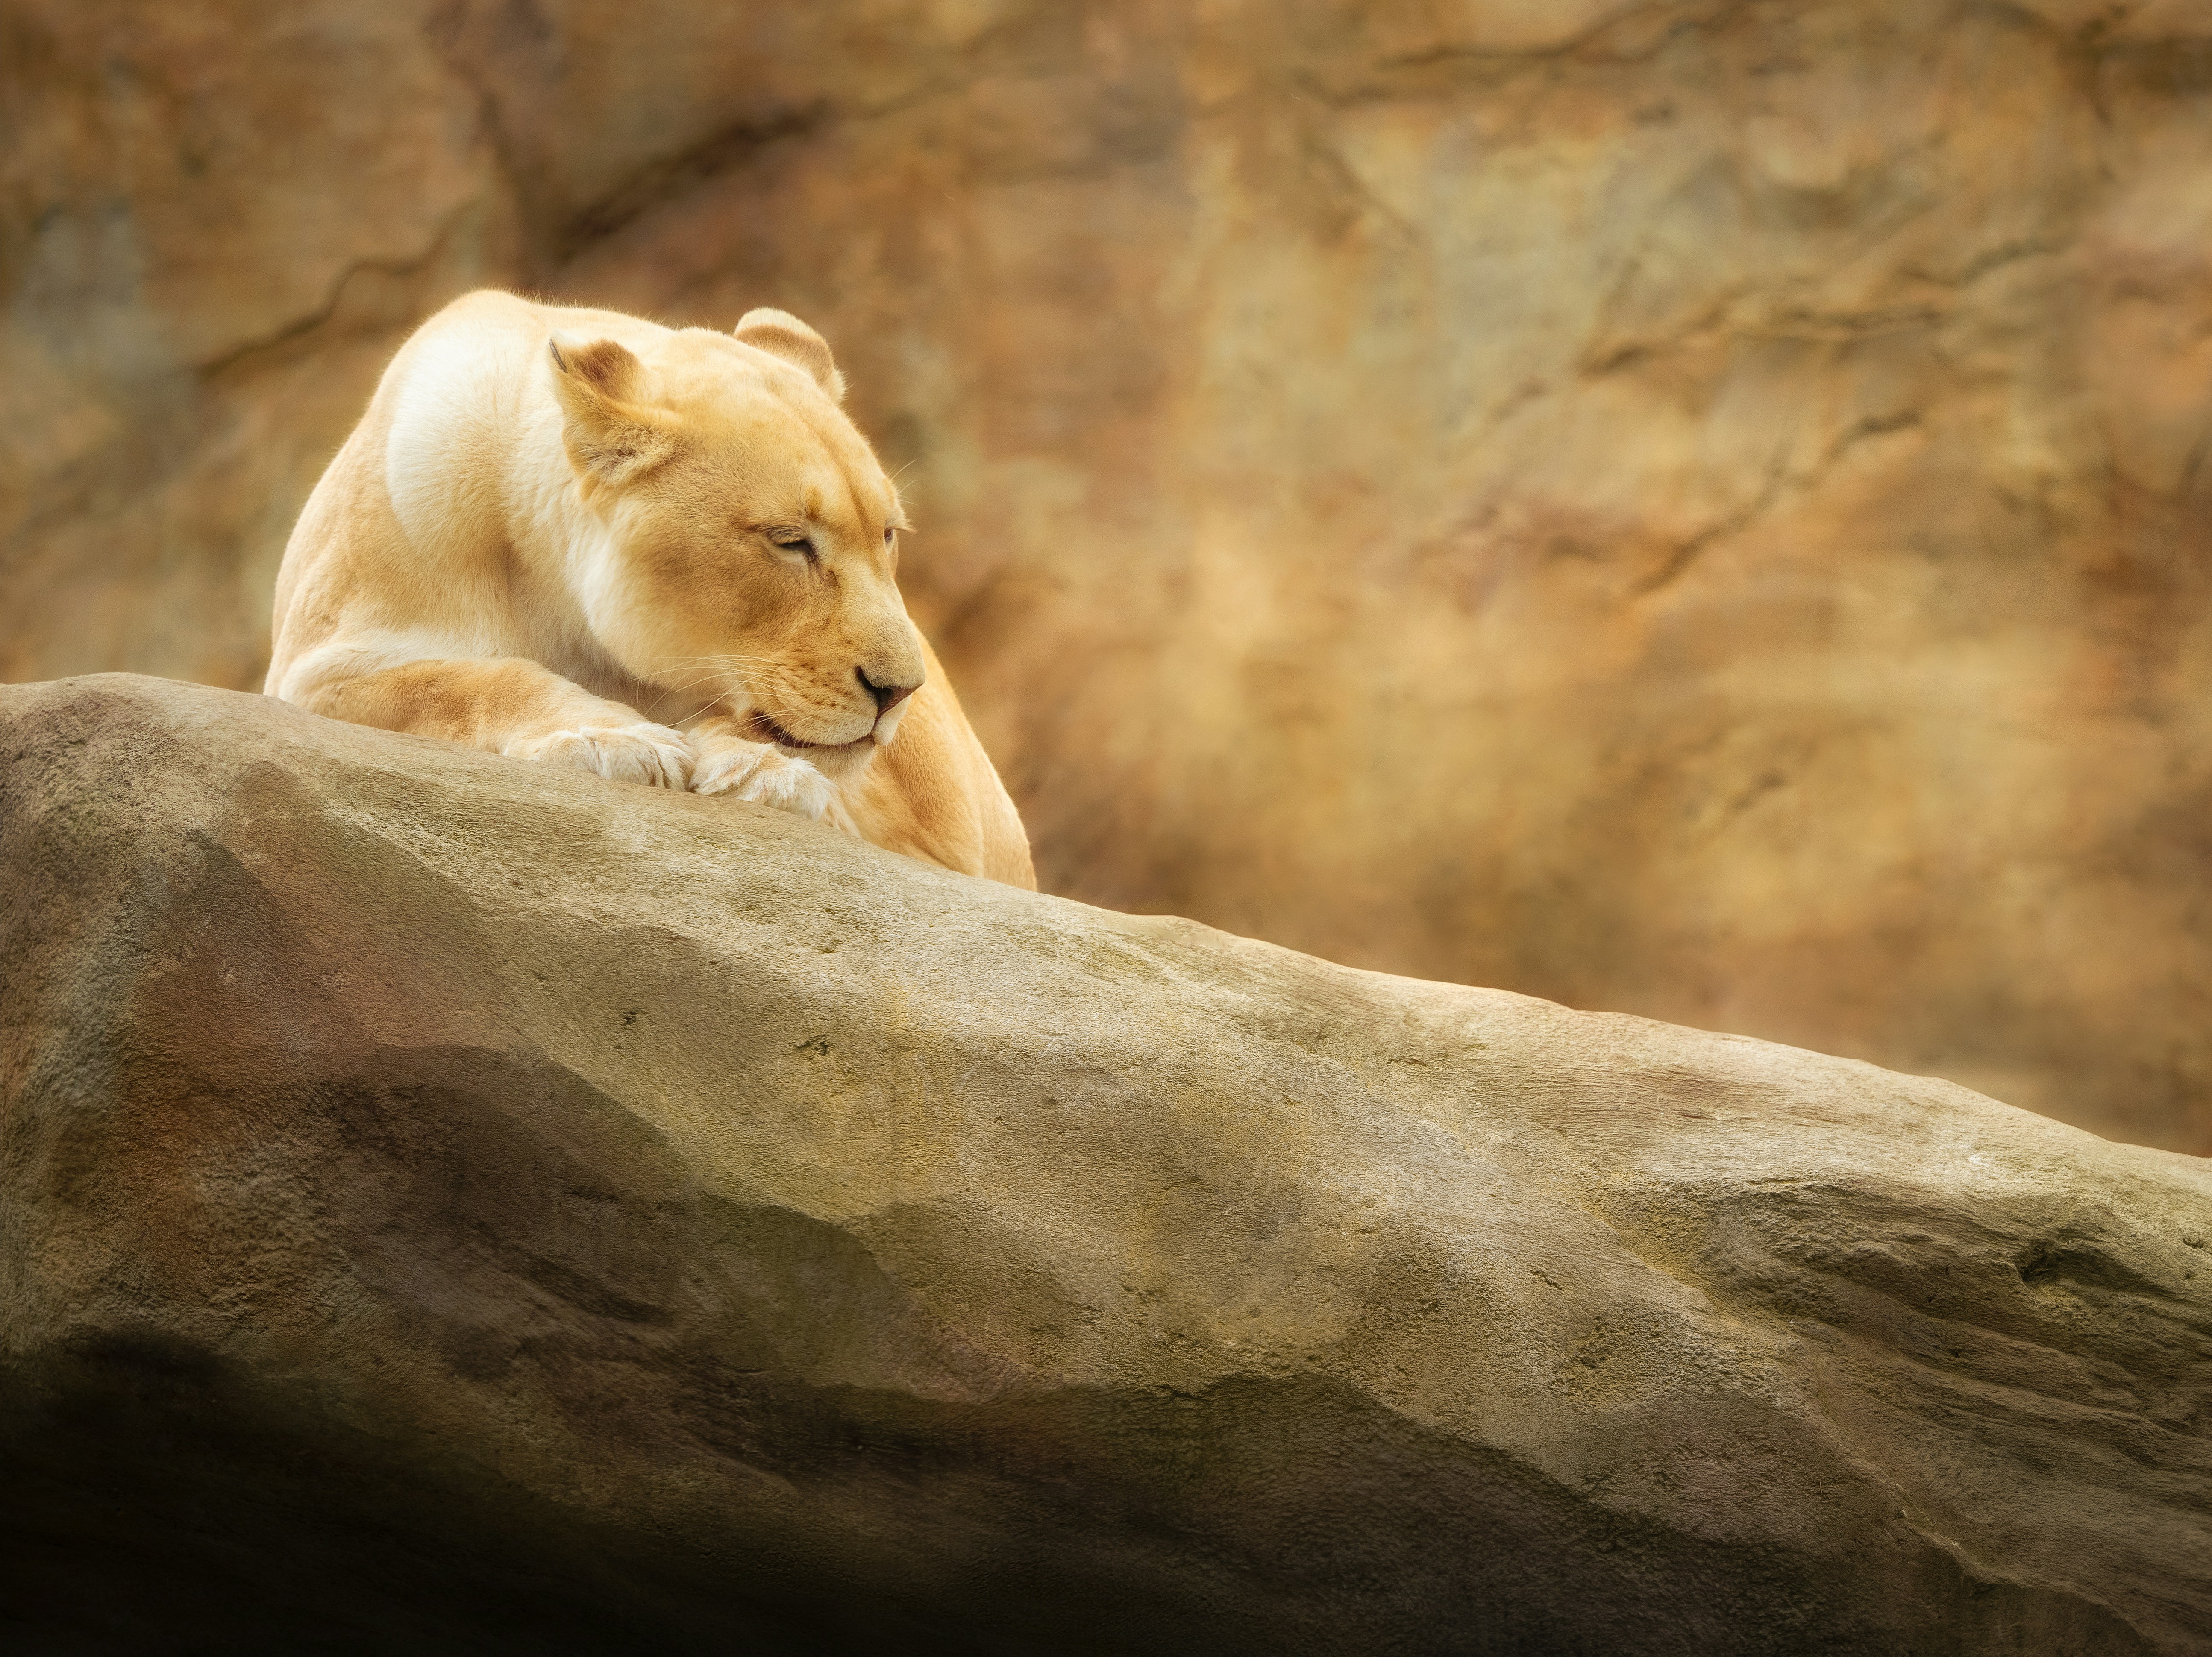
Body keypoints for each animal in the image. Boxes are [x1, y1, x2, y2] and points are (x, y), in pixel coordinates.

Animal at [265, 290, 1034, 888]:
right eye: (789, 539)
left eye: (889, 535)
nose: (899, 691)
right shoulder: (316, 667)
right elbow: (463, 680)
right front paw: (615, 737)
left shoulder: (952, 835)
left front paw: (758, 769)